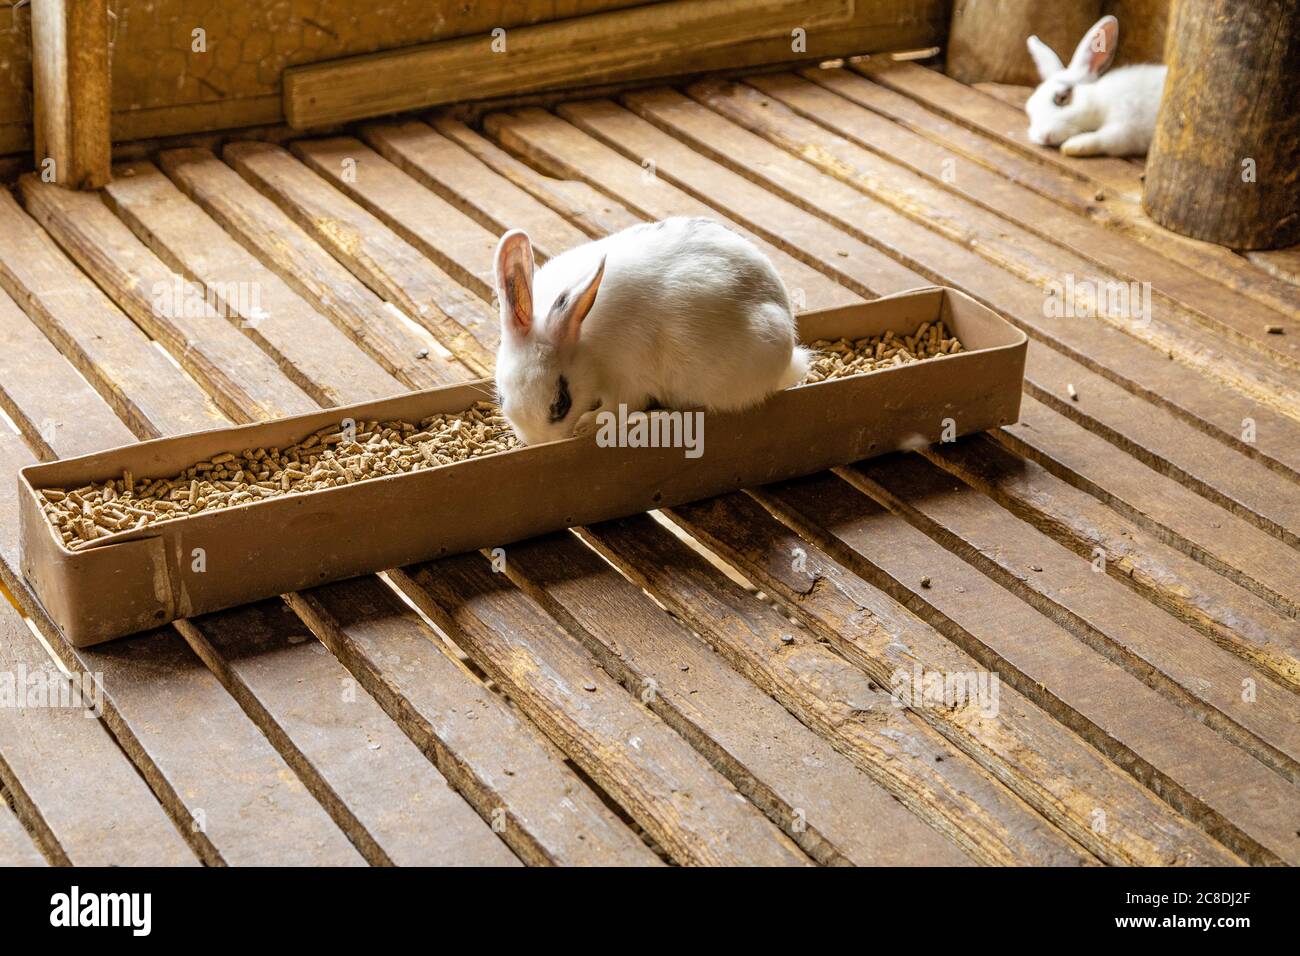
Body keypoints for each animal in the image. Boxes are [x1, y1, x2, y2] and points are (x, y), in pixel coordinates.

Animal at [492, 217, 811, 446]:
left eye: (561, 403)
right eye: (502, 398)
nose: (538, 442)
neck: (585, 344)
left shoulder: (628, 380)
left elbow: (616, 408)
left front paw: (585, 423)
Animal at [1025, 15, 1167, 157]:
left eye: (1062, 98)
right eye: (1029, 108)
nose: (1043, 137)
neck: (1101, 98)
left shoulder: (1127, 125)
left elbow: (1105, 138)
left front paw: (1073, 146)